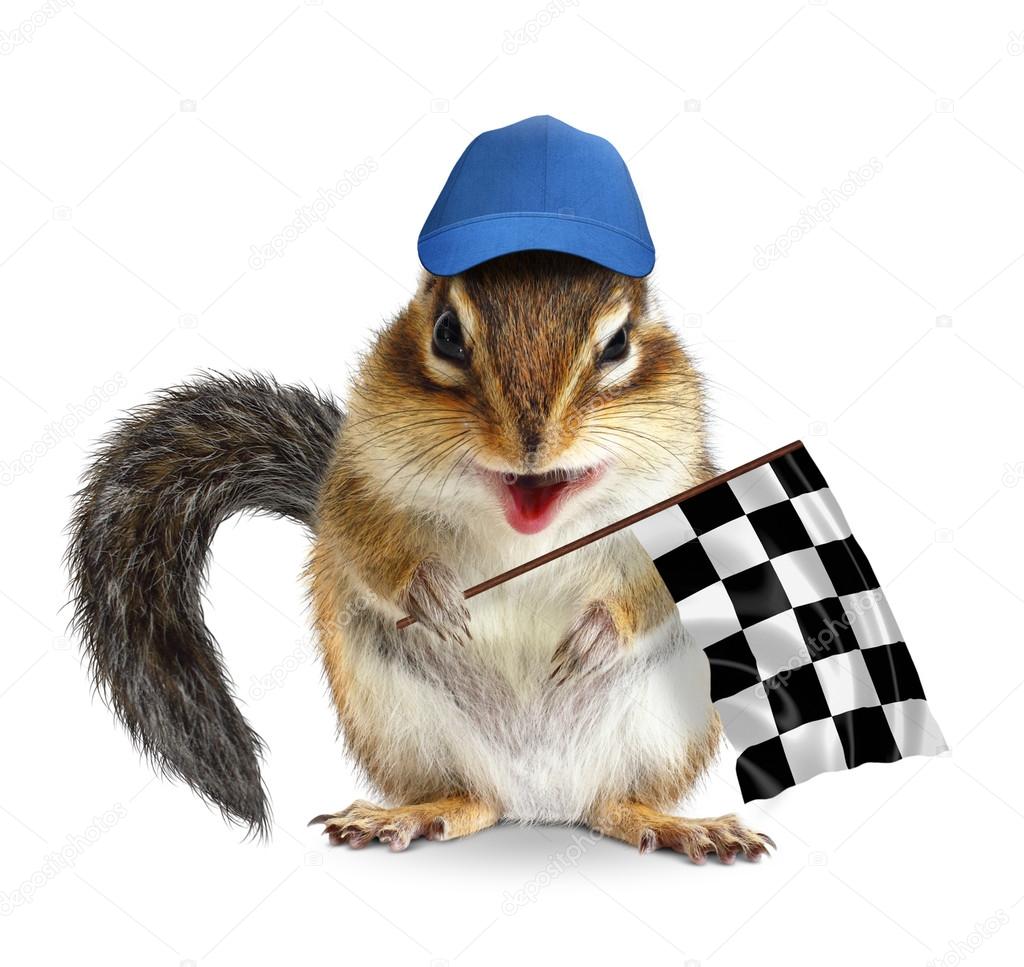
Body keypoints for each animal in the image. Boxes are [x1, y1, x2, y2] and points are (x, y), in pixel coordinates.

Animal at [68, 250, 774, 862]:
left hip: (663, 731)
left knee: (614, 805)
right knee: (472, 801)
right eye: (446, 334)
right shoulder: (354, 487)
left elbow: (670, 581)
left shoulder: (688, 494)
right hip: (404, 726)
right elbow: (362, 541)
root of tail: (541, 800)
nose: (531, 441)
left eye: (619, 344)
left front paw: (598, 633)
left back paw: (680, 825)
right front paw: (429, 595)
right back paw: (409, 814)